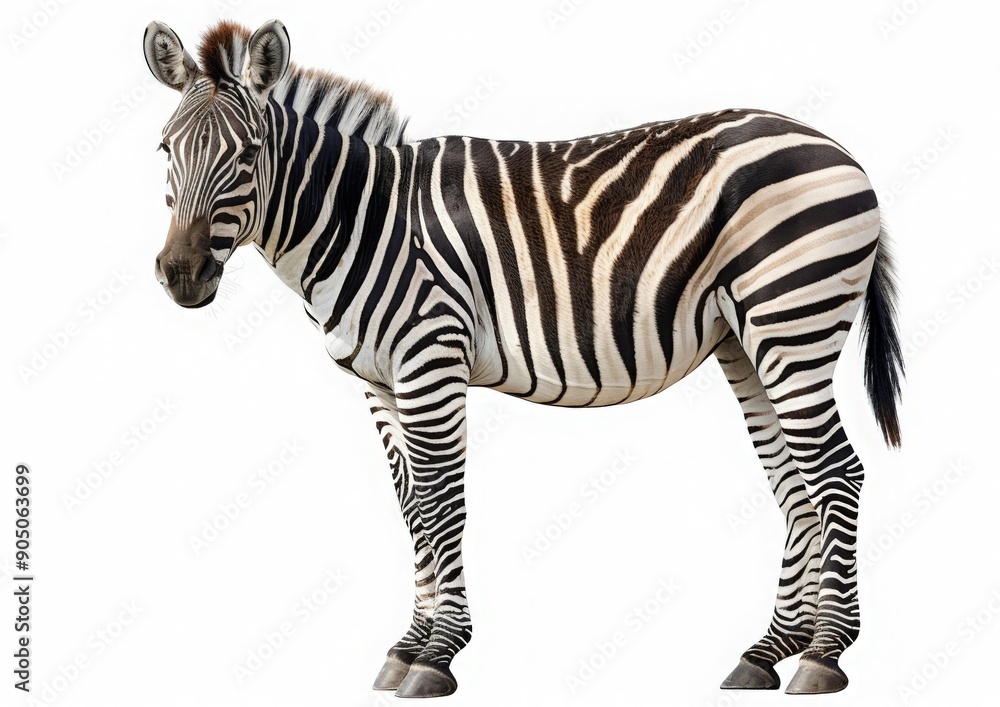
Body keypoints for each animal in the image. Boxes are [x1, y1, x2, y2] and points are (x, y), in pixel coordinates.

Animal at [144, 19, 904, 698]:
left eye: (247, 154)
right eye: (163, 149)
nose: (181, 274)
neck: (364, 219)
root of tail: (834, 144)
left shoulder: (431, 359)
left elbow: (442, 501)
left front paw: (437, 656)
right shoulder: (377, 381)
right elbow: (409, 505)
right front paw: (407, 645)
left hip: (792, 317)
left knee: (837, 471)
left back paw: (824, 653)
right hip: (746, 340)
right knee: (794, 485)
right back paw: (768, 650)